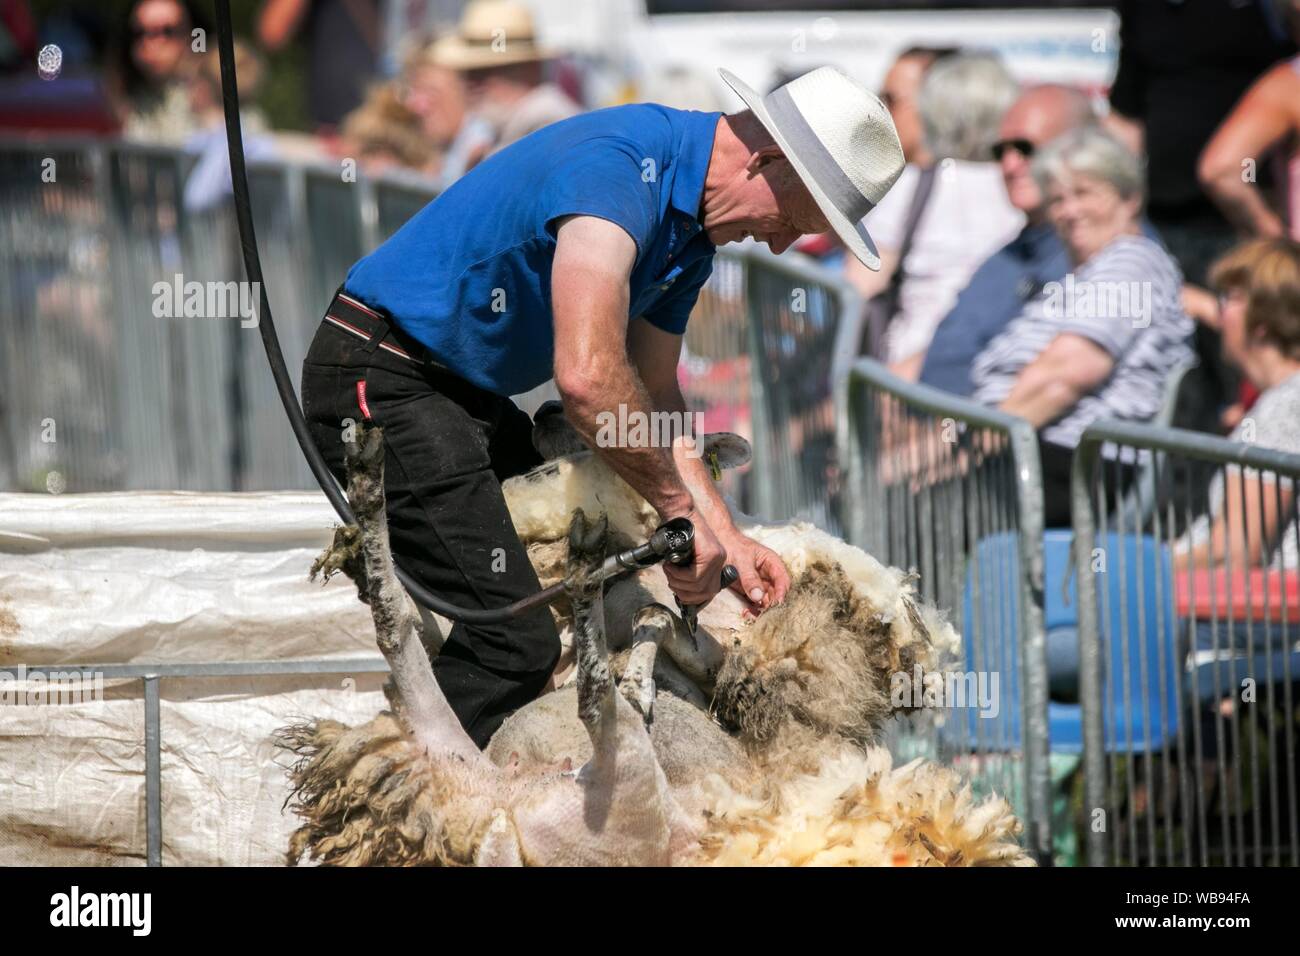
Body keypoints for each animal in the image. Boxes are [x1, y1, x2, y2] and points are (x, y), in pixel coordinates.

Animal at [278, 422, 1032, 866]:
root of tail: (489, 826)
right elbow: (658, 625)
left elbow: (655, 629)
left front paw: (635, 649)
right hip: (469, 757)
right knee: (403, 636)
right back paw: (370, 502)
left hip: (625, 794)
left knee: (589, 700)